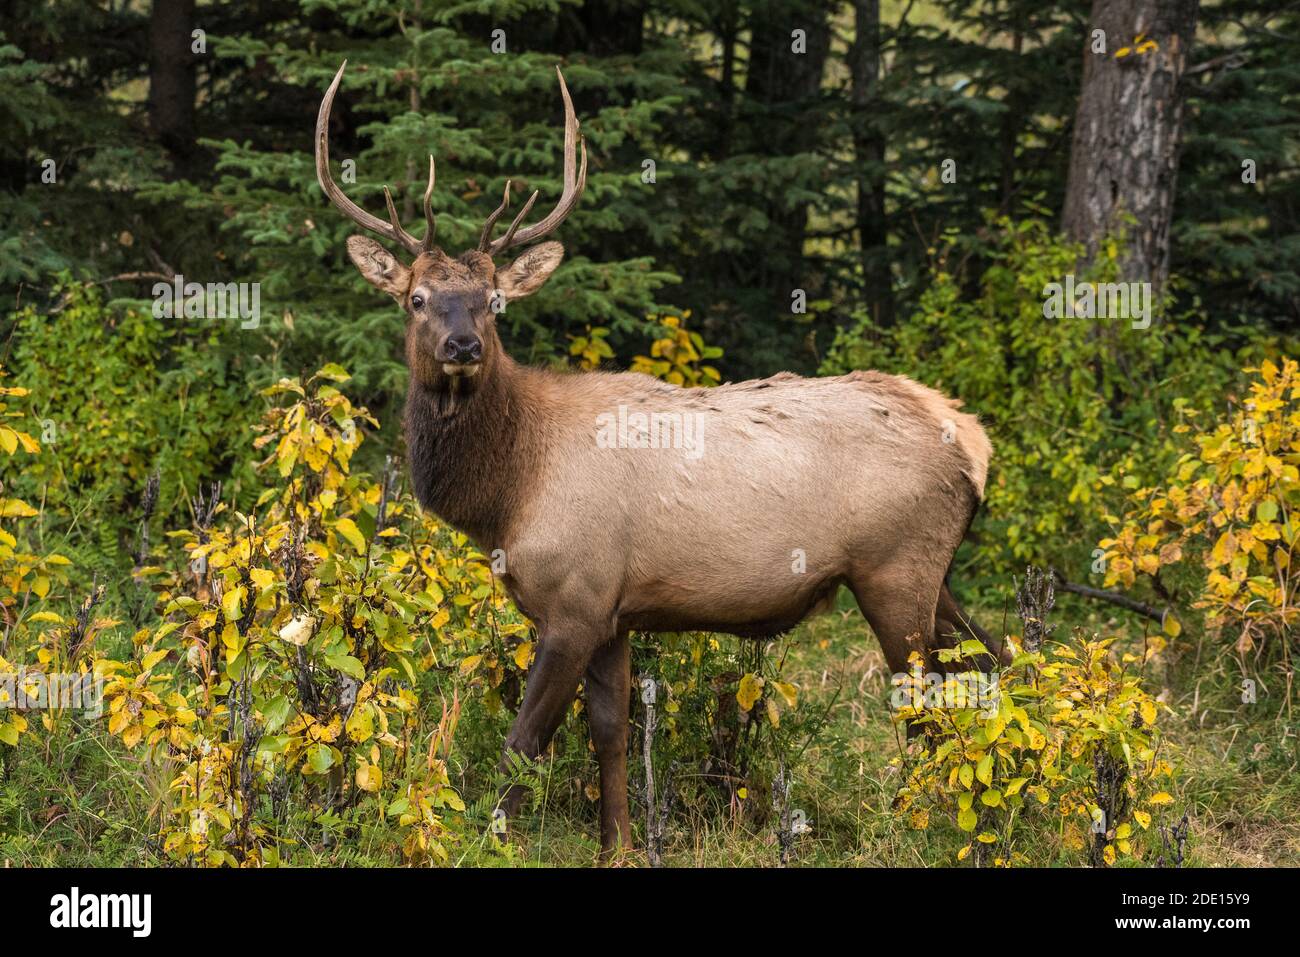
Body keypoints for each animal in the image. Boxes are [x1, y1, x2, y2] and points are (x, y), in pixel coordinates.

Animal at [315, 61, 1004, 859]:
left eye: (493, 300)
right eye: (418, 297)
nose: (463, 346)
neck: (508, 493)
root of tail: (975, 441)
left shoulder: (576, 597)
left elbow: (525, 742)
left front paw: (490, 840)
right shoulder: (614, 611)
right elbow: (610, 733)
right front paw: (617, 843)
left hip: (895, 567)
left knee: (927, 701)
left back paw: (922, 822)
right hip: (933, 571)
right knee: (991, 663)